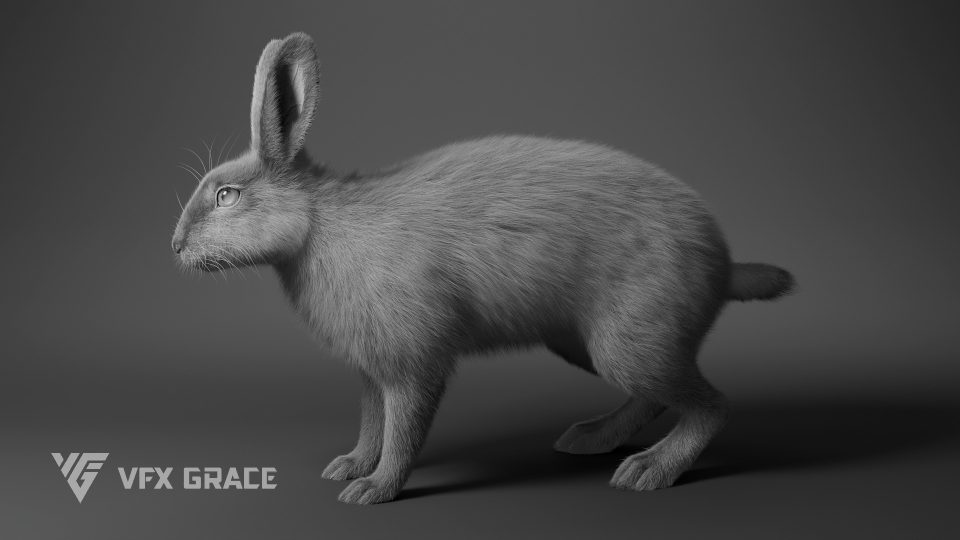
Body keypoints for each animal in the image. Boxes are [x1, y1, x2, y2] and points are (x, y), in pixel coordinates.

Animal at [171, 32, 795, 505]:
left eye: (226, 196)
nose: (174, 246)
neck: (319, 224)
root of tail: (723, 264)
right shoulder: (371, 369)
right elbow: (373, 423)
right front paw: (348, 466)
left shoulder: (413, 363)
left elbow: (403, 430)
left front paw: (374, 490)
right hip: (585, 343)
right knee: (657, 398)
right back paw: (591, 439)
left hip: (631, 341)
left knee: (711, 406)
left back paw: (647, 471)